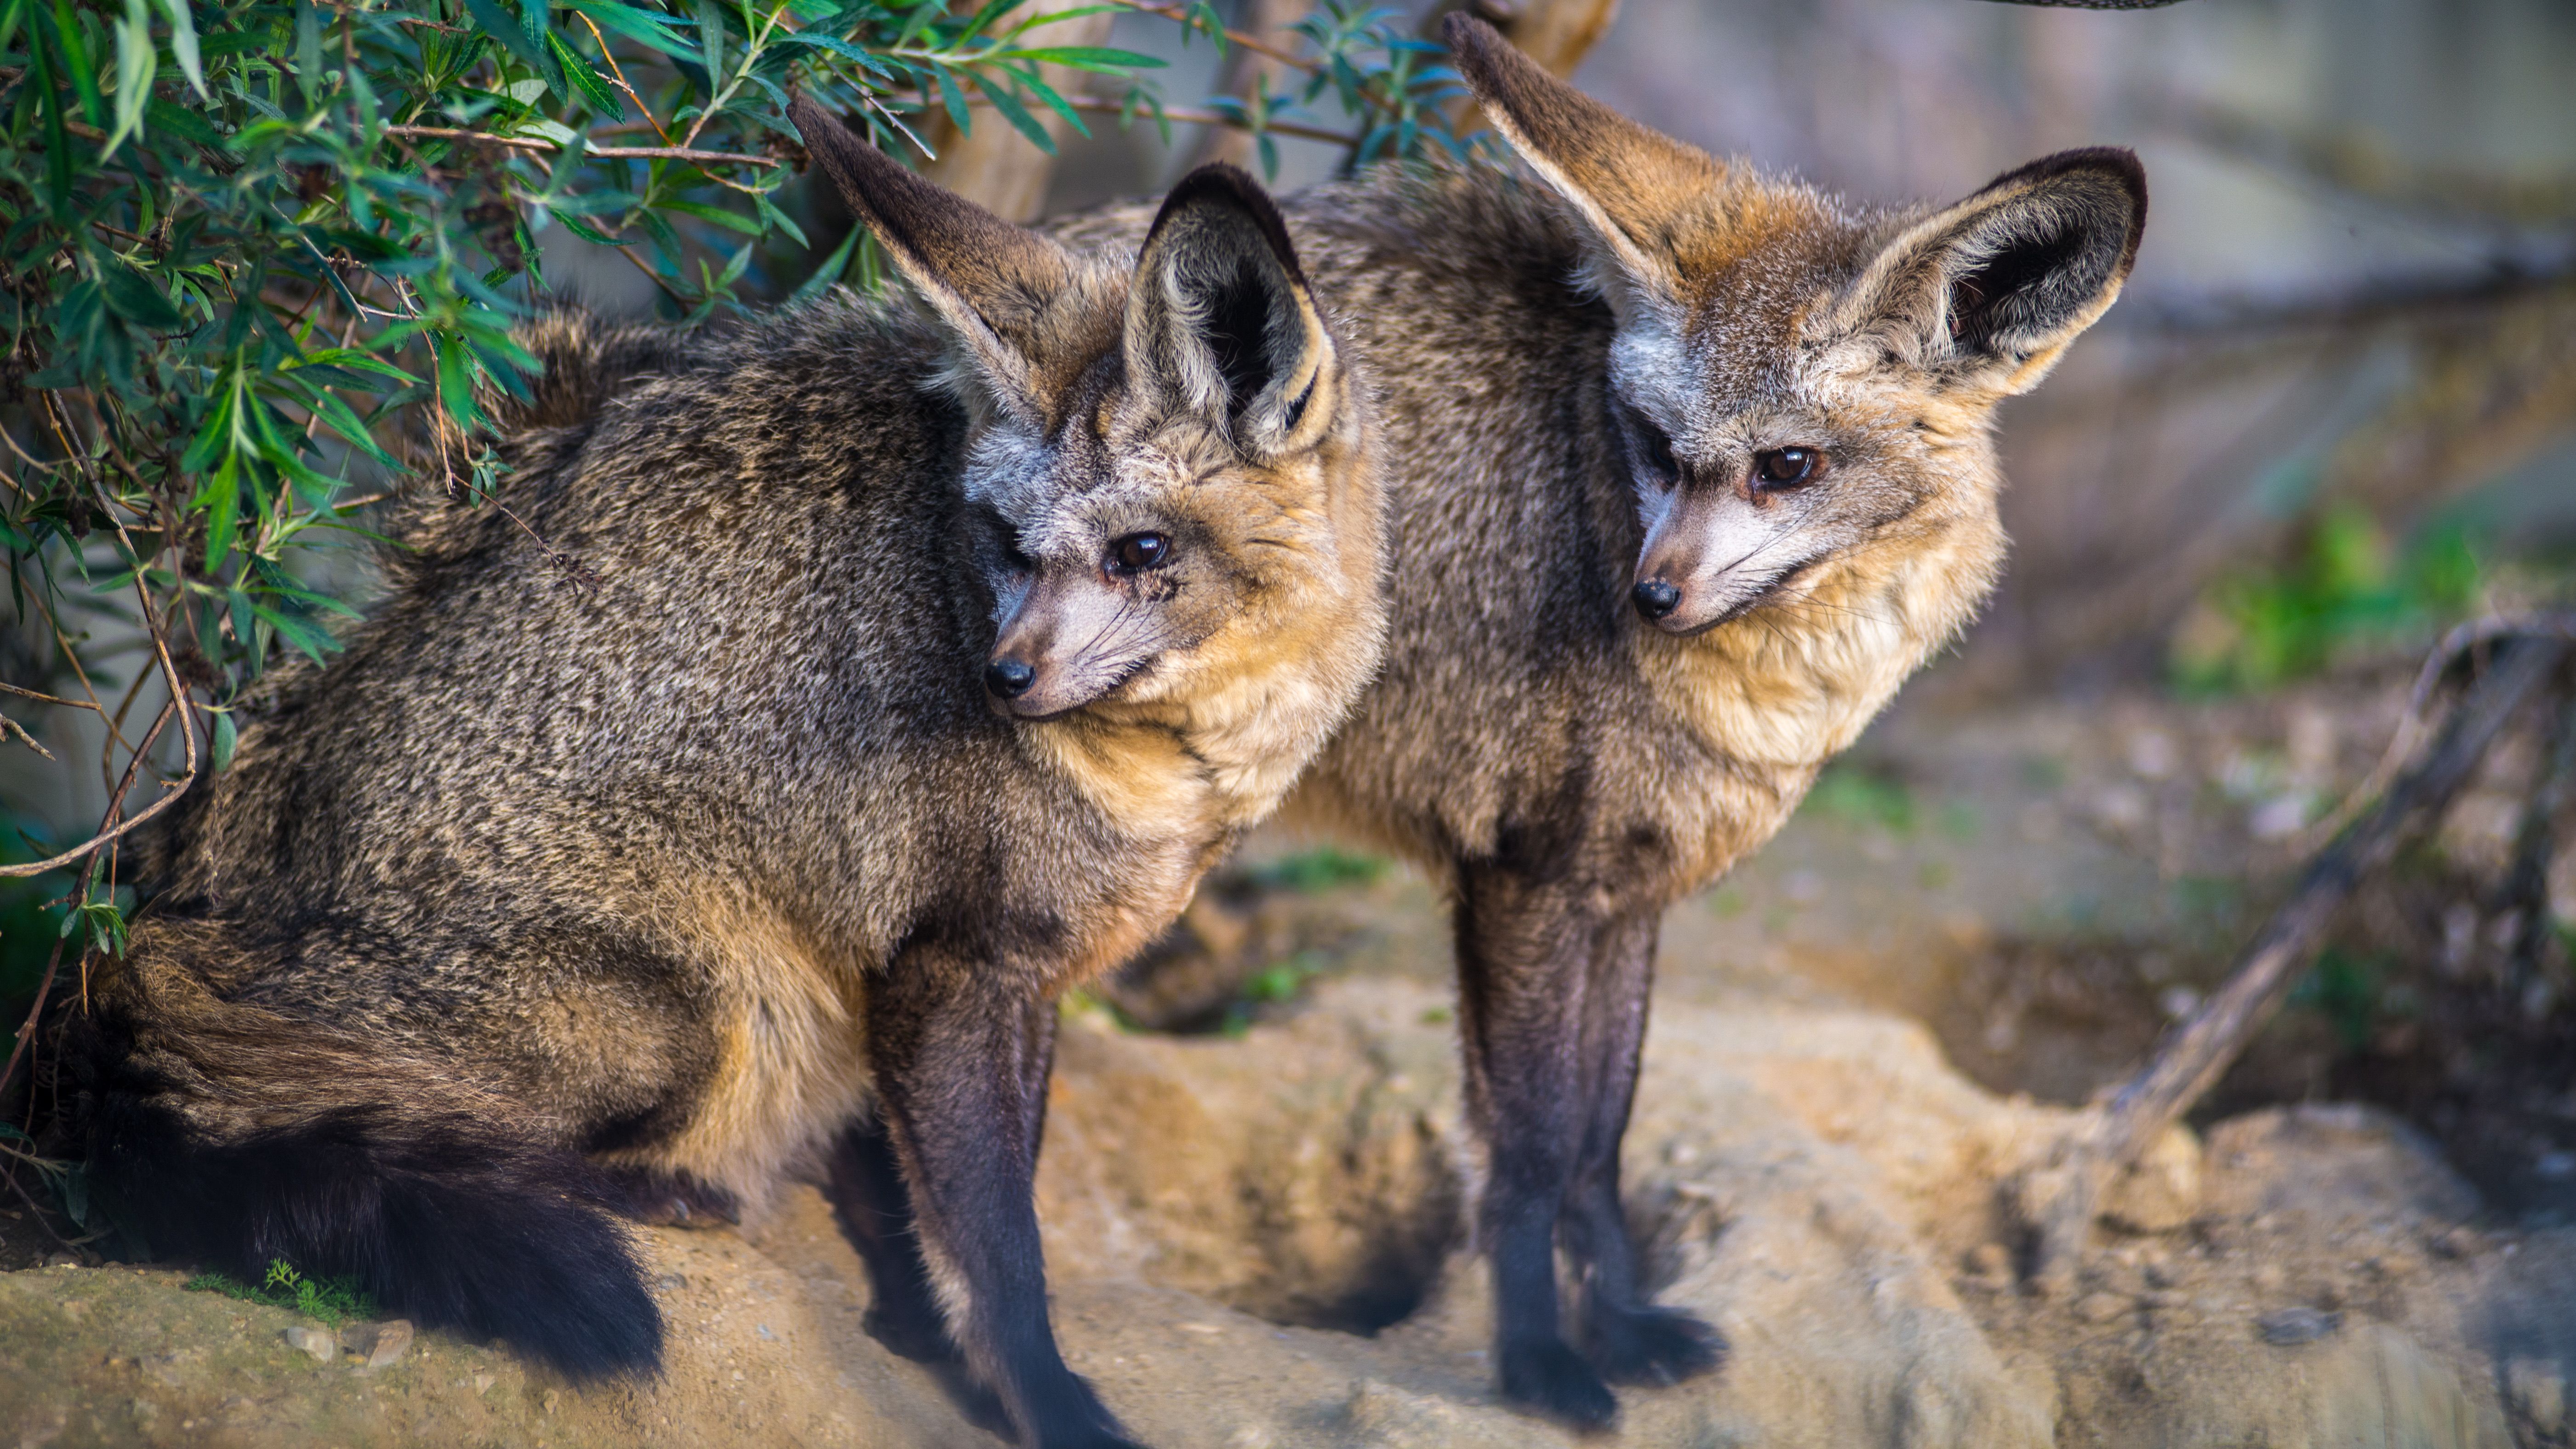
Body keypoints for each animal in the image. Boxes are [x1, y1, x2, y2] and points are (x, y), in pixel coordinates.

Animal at [66, 113, 1383, 1449]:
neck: (1180, 775)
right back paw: (666, 1190)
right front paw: (1048, 1404)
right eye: (1009, 546)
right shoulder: (948, 969)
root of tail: (140, 949)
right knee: (425, 1144)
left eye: (1142, 552)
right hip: (707, 1009)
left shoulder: (1012, 973)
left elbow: (950, 1213)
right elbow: (1000, 1255)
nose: (1002, 679)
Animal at [1009, 14, 2147, 1429]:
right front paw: (1537, 1364)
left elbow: (1602, 1138)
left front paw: (1620, 1328)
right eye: (1655, 444)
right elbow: (1531, 1154)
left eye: (1786, 468)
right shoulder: (1522, 875)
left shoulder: (1627, 887)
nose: (1651, 596)